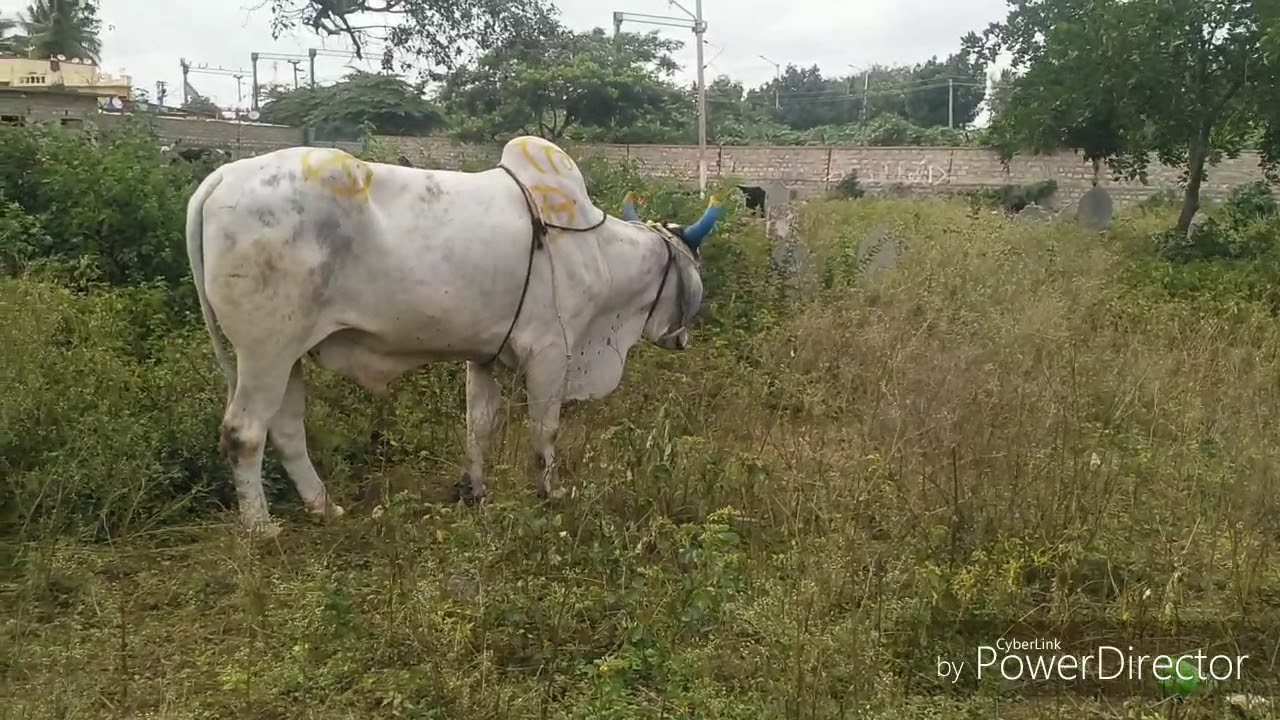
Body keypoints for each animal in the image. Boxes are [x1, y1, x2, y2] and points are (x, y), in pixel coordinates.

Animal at [185, 136, 724, 537]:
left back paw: (324, 507)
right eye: (697, 267)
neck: (599, 252)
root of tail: (221, 177)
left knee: (286, 429)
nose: (683, 339)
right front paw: (550, 494)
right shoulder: (552, 351)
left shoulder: (484, 355)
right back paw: (261, 530)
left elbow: (477, 426)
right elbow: (545, 431)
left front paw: (474, 490)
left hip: (287, 355)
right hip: (266, 350)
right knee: (244, 433)